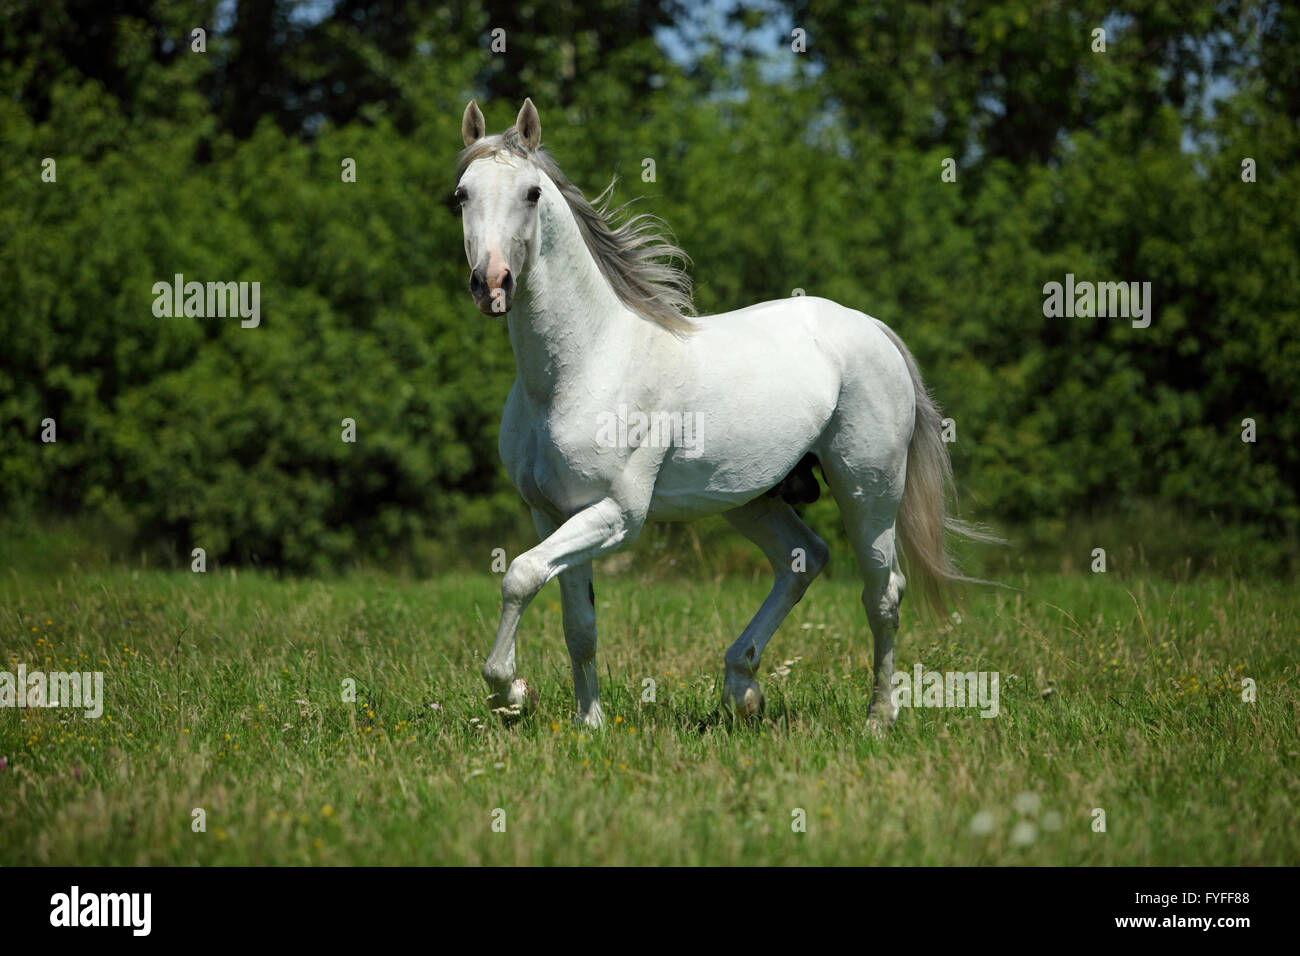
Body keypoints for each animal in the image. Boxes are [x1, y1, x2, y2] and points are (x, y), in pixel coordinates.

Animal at [454, 98, 990, 734]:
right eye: (461, 193)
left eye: (533, 192)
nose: (491, 284)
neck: (581, 365)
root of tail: (872, 329)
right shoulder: (552, 513)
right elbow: (576, 622)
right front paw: (588, 725)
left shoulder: (616, 515)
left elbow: (518, 576)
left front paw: (511, 692)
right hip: (751, 497)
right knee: (803, 561)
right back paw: (743, 688)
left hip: (868, 491)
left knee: (882, 594)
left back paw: (877, 719)